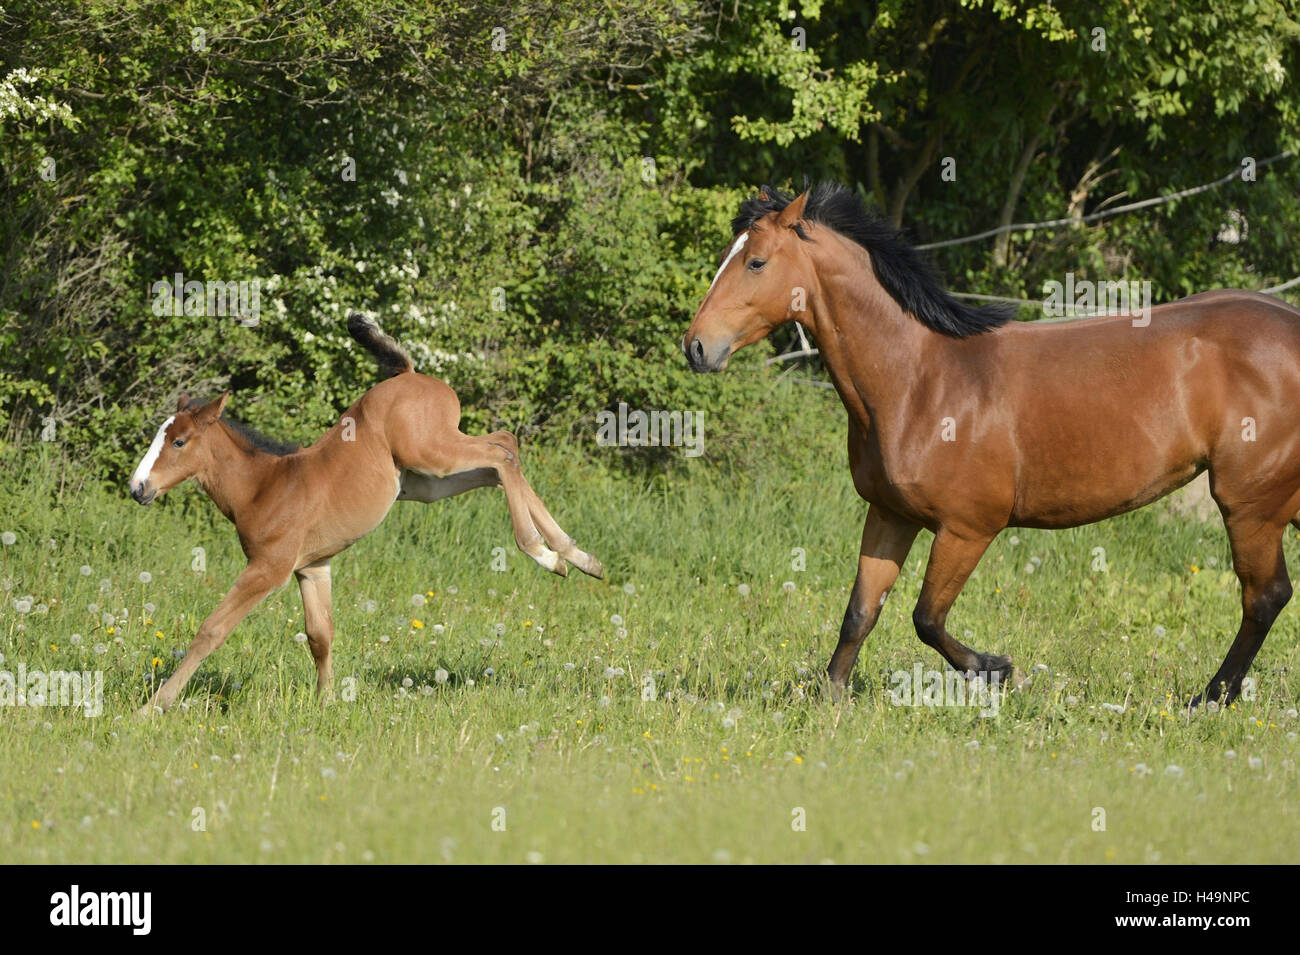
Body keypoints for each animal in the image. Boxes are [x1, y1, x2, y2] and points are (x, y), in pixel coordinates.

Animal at [129, 313, 603, 715]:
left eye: (179, 442)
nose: (139, 488)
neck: (264, 487)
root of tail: (410, 374)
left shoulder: (268, 569)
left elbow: (211, 630)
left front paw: (153, 706)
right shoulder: (312, 568)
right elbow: (320, 635)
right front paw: (326, 704)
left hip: (431, 453)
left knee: (502, 448)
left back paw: (545, 554)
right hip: (427, 479)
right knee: (502, 458)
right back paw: (576, 557)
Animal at [683, 182, 1300, 709]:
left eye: (756, 261)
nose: (696, 347)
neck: (920, 379)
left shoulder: (968, 527)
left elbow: (926, 618)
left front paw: (999, 670)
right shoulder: (888, 514)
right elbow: (861, 611)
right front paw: (829, 698)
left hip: (1251, 505)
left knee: (1264, 596)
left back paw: (1210, 698)